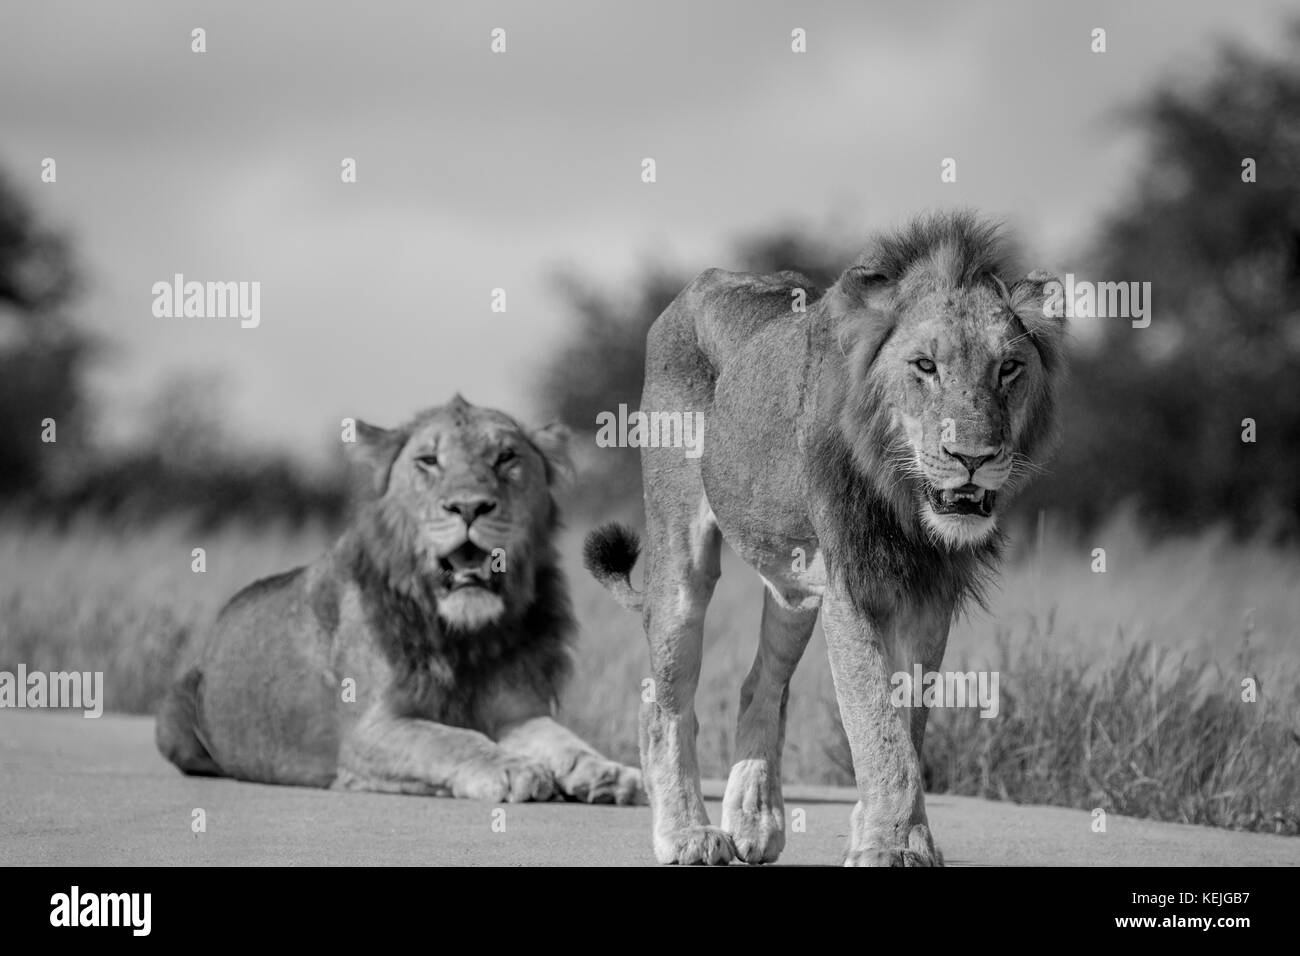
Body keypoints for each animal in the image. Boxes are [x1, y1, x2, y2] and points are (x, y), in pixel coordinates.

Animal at [157, 395, 643, 806]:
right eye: (428, 461)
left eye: (506, 458)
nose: (470, 507)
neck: (465, 635)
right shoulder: (368, 731)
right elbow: (449, 739)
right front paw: (511, 769)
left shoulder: (516, 710)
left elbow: (563, 741)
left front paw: (609, 773)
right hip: (174, 719)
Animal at [585, 212, 1065, 864]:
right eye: (925, 366)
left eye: (1008, 368)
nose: (973, 457)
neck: (903, 496)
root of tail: (700, 283)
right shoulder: (851, 589)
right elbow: (876, 725)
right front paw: (890, 845)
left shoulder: (928, 595)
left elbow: (907, 725)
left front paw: (895, 835)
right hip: (680, 549)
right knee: (667, 696)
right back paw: (689, 833)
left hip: (792, 590)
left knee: (759, 684)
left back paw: (754, 819)